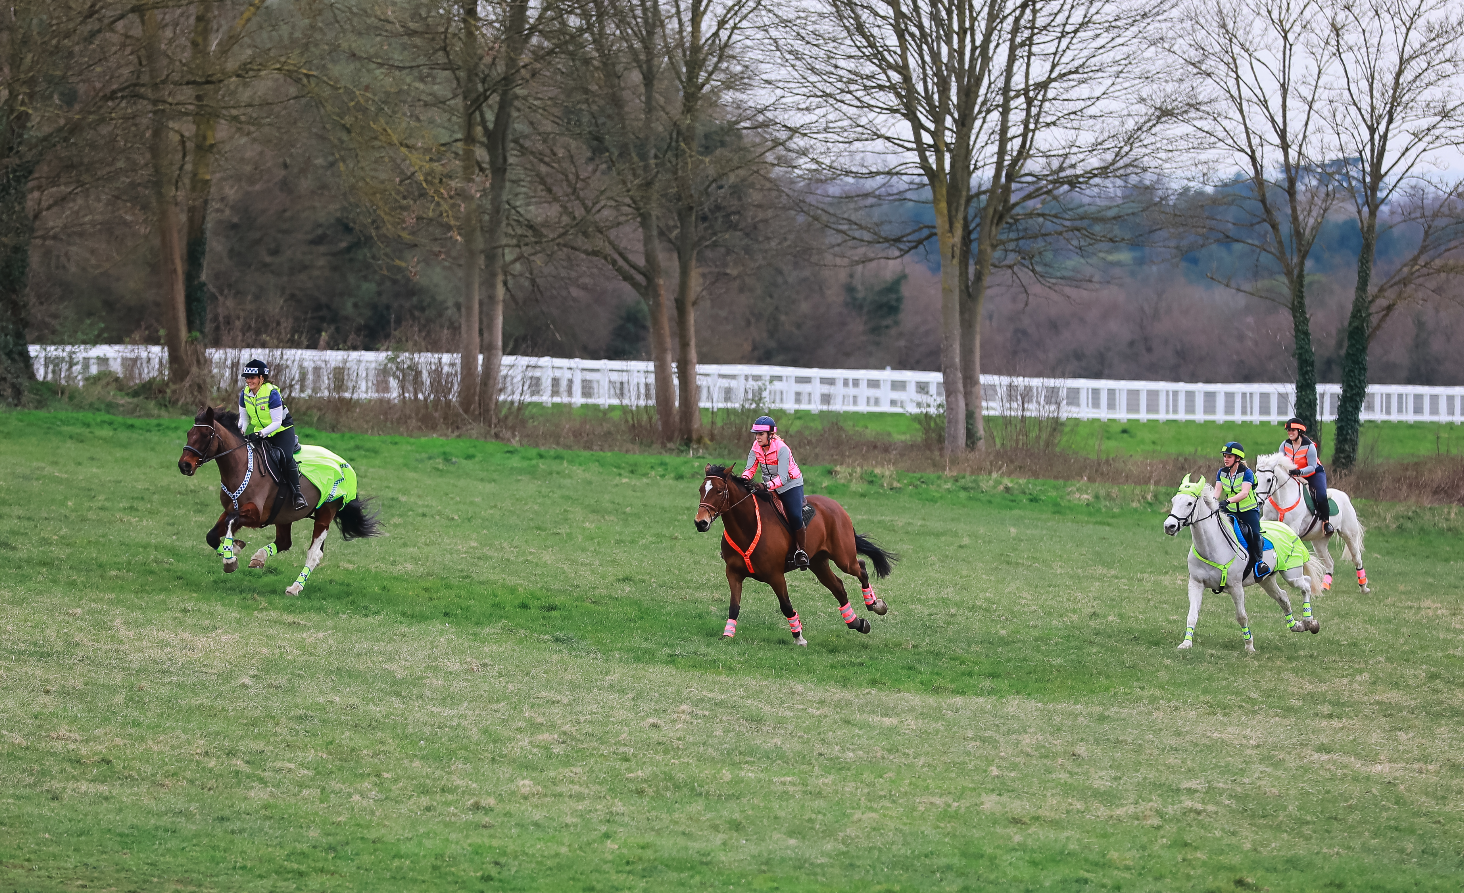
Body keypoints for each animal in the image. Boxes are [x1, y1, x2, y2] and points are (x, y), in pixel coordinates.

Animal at [178, 405, 381, 595]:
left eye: (205, 435)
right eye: (189, 433)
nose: (184, 465)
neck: (241, 467)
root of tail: (343, 464)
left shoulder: (254, 515)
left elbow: (230, 521)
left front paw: (230, 557)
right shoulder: (231, 508)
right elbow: (212, 535)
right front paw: (233, 549)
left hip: (325, 513)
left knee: (314, 554)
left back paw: (295, 587)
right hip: (284, 515)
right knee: (284, 542)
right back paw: (259, 557)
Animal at [693, 465, 896, 644]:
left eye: (719, 491)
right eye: (701, 489)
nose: (700, 522)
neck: (746, 528)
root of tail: (836, 506)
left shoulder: (775, 575)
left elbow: (786, 606)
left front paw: (799, 637)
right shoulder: (733, 573)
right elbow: (734, 606)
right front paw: (727, 634)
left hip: (843, 558)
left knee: (861, 568)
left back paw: (875, 605)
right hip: (818, 562)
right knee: (838, 587)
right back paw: (856, 623)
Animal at [1163, 475, 1325, 652]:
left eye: (1189, 503)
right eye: (1174, 500)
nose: (1169, 526)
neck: (1212, 547)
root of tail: (1286, 528)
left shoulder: (1236, 587)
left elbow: (1241, 616)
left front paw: (1249, 646)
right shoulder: (1196, 583)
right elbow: (1192, 615)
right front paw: (1186, 643)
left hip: (1291, 574)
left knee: (1306, 584)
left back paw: (1310, 622)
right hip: (1266, 580)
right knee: (1282, 596)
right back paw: (1297, 625)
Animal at [1254, 452, 1370, 593]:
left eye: (1269, 480)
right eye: (1255, 477)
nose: (1258, 502)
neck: (1283, 498)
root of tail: (1345, 496)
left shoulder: (1292, 528)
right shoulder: (1266, 520)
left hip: (1349, 534)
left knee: (1357, 558)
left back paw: (1363, 587)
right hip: (1319, 541)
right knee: (1329, 562)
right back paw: (1324, 586)